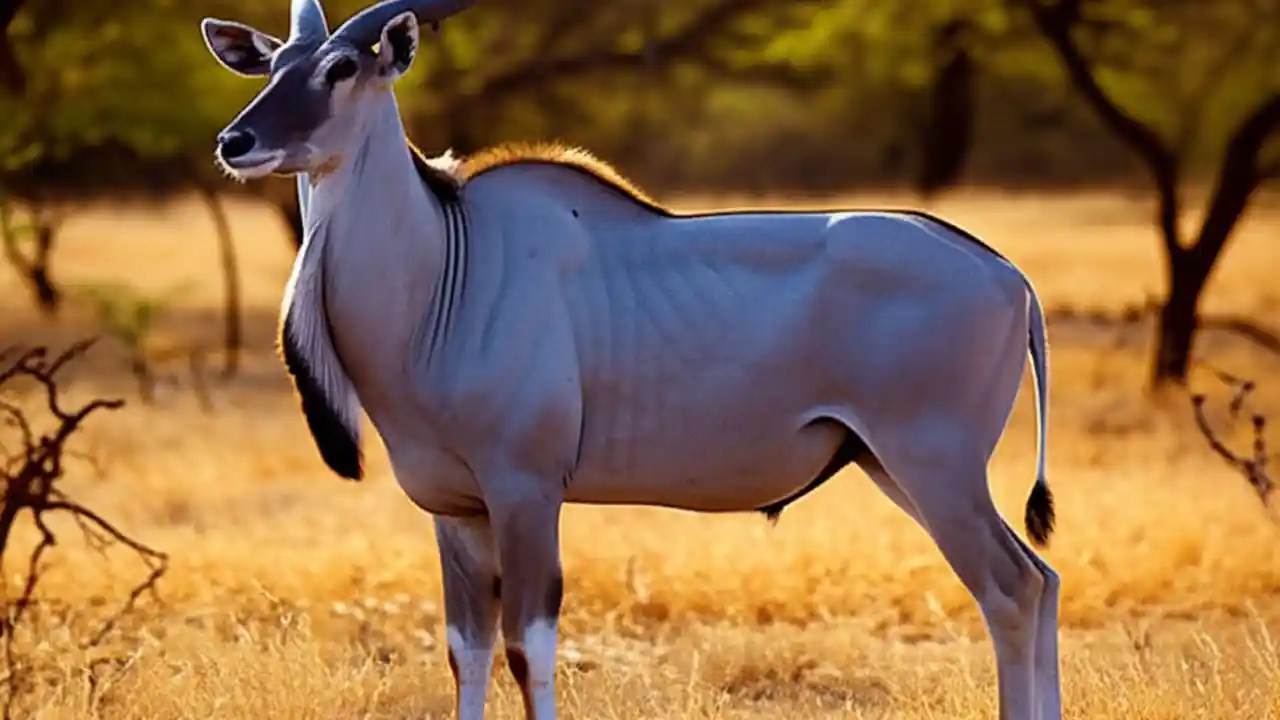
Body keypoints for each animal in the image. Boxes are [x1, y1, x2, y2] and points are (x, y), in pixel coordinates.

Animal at [200, 0, 1061, 717]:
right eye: (273, 65)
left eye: (341, 68)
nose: (235, 141)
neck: (447, 262)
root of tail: (1009, 277)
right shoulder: (455, 510)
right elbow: (466, 652)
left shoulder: (526, 492)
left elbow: (528, 647)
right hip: (895, 466)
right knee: (1042, 580)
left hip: (934, 467)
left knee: (1012, 589)